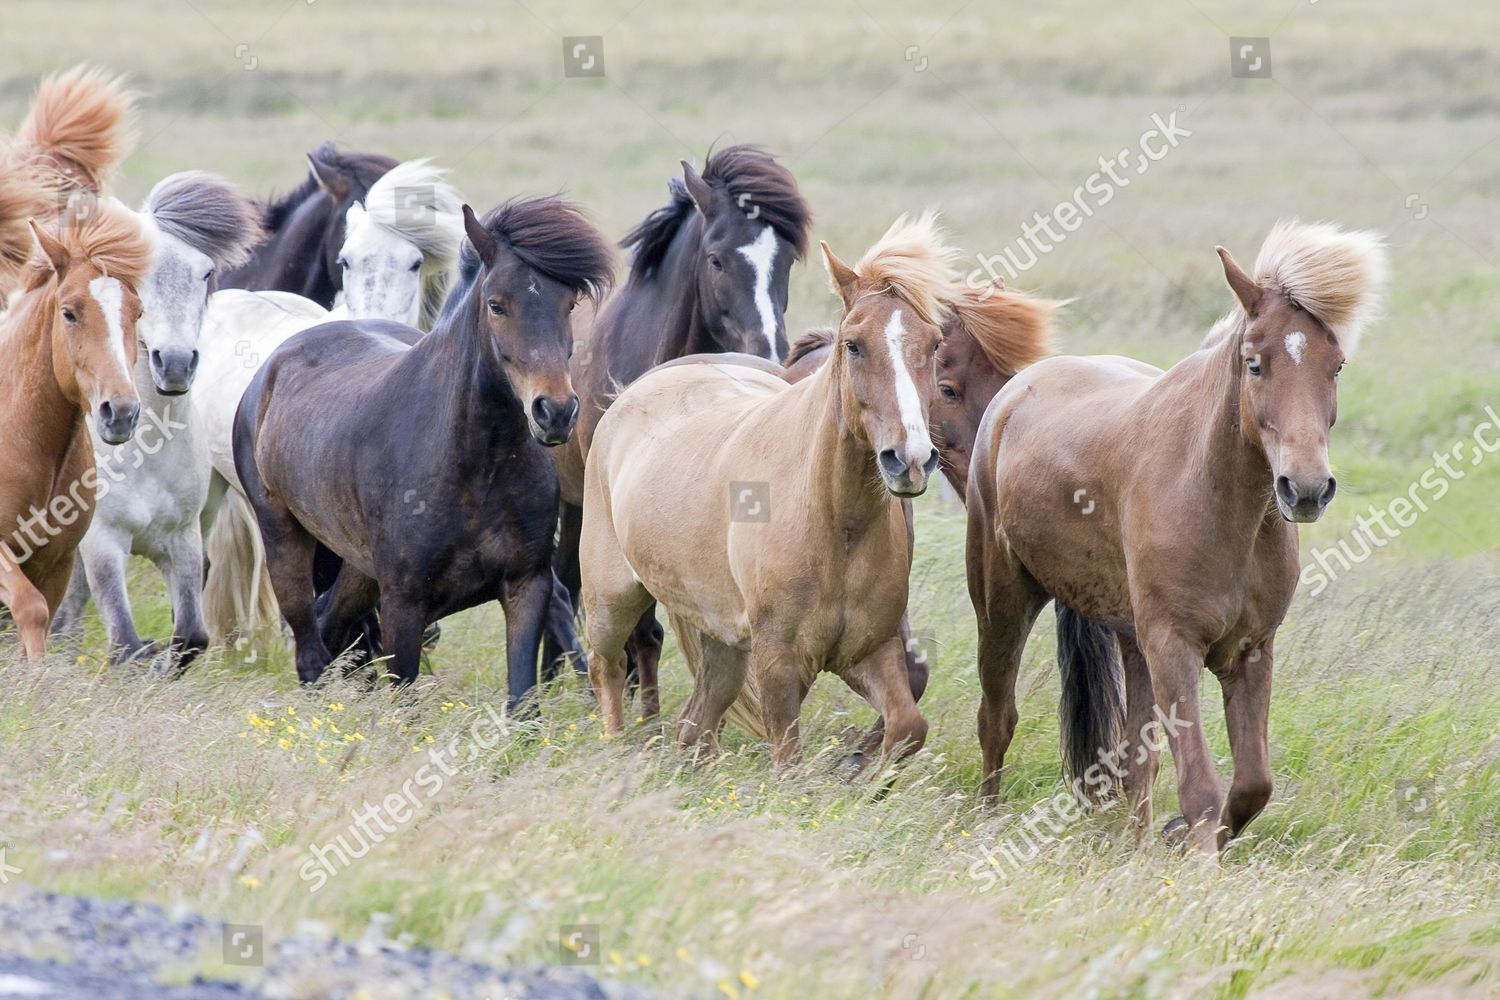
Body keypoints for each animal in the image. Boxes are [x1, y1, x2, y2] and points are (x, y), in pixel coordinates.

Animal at [48, 173, 263, 668]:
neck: (143, 450)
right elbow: (125, 642)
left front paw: (161, 656)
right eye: (134, 277)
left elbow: (191, 637)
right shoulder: (103, 543)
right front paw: (143, 655)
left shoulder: (182, 541)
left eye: (205, 273)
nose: (177, 364)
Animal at [234, 198, 612, 705]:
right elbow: (405, 698)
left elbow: (522, 700)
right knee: (310, 648)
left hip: (359, 569)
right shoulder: (404, 601)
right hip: (283, 537)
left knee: (330, 622)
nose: (554, 411)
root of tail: (271, 370)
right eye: (496, 304)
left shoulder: (527, 586)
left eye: (568, 304)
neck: (476, 465)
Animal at [581, 212, 957, 764]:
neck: (834, 523)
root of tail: (630, 394)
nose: (909, 460)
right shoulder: (779, 659)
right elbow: (787, 757)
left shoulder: (871, 649)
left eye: (933, 345)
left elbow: (909, 726)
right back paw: (612, 748)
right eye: (853, 344)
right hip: (611, 600)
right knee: (605, 668)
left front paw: (863, 771)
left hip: (720, 636)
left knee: (699, 718)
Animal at [965, 220, 1387, 852]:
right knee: (997, 717)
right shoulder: (1175, 647)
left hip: (1131, 642)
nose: (1307, 489)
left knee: (1135, 759)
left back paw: (1137, 846)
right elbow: (1201, 787)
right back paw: (986, 820)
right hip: (1005, 604)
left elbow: (1252, 784)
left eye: (1334, 365)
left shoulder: (1249, 652)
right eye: (1254, 363)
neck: (1218, 505)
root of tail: (1017, 391)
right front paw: (1194, 852)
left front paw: (1182, 839)